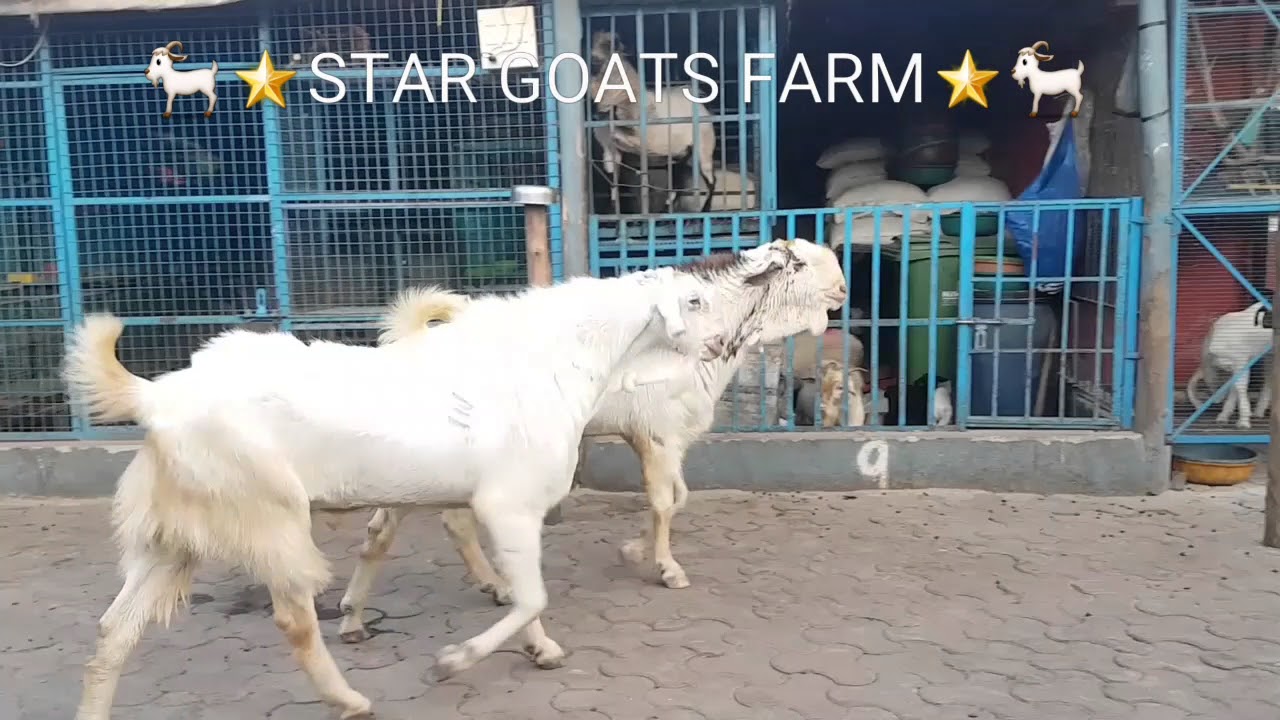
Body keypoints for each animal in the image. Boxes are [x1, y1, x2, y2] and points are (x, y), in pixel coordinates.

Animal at [65, 267, 736, 720]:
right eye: (694, 300)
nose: (722, 344)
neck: (546, 363)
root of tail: (157, 397)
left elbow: (528, 596)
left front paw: (541, 649)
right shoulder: (509, 505)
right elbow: (530, 595)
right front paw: (454, 660)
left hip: (170, 537)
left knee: (111, 631)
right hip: (267, 515)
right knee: (293, 618)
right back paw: (349, 698)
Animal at [334, 240, 847, 641]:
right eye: (799, 262)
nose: (843, 287)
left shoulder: (657, 438)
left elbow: (677, 497)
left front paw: (635, 550)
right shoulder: (657, 431)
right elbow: (665, 501)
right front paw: (668, 568)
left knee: (394, 526)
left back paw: (357, 617)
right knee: (432, 523)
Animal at [589, 31, 717, 213]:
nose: (599, 107)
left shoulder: (638, 136)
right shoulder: (610, 150)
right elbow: (613, 181)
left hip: (703, 147)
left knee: (710, 180)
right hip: (685, 153)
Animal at [1186, 300, 1273, 429]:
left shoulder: (1240, 361)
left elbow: (1240, 387)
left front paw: (1244, 421)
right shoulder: (1235, 366)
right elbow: (1234, 387)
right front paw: (1224, 416)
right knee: (1268, 379)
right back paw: (1259, 411)